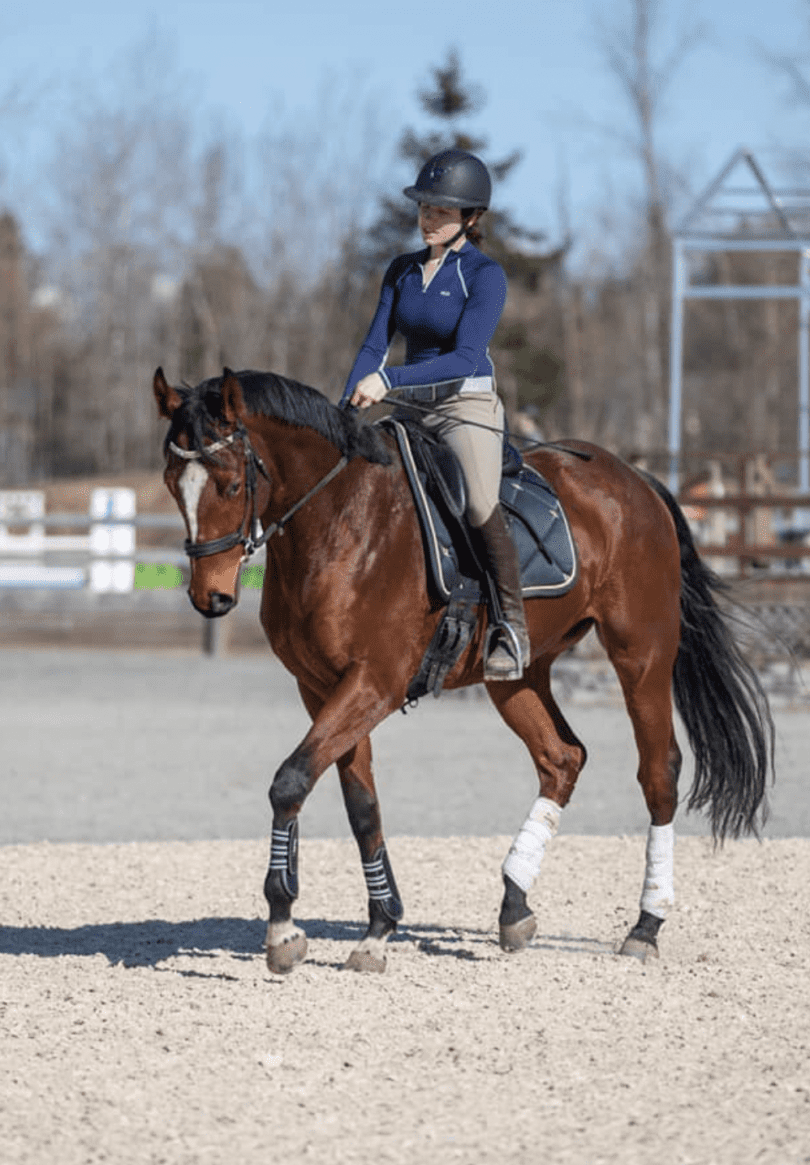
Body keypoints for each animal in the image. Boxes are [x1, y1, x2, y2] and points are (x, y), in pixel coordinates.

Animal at [153, 366, 773, 975]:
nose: (210, 599)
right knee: (562, 758)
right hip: (518, 676)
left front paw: (283, 928)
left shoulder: (372, 684)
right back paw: (515, 905)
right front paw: (378, 929)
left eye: (231, 485)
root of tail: (637, 480)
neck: (340, 520)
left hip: (640, 654)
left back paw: (645, 925)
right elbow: (361, 806)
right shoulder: (322, 688)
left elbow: (290, 781)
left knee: (658, 772)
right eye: (171, 482)